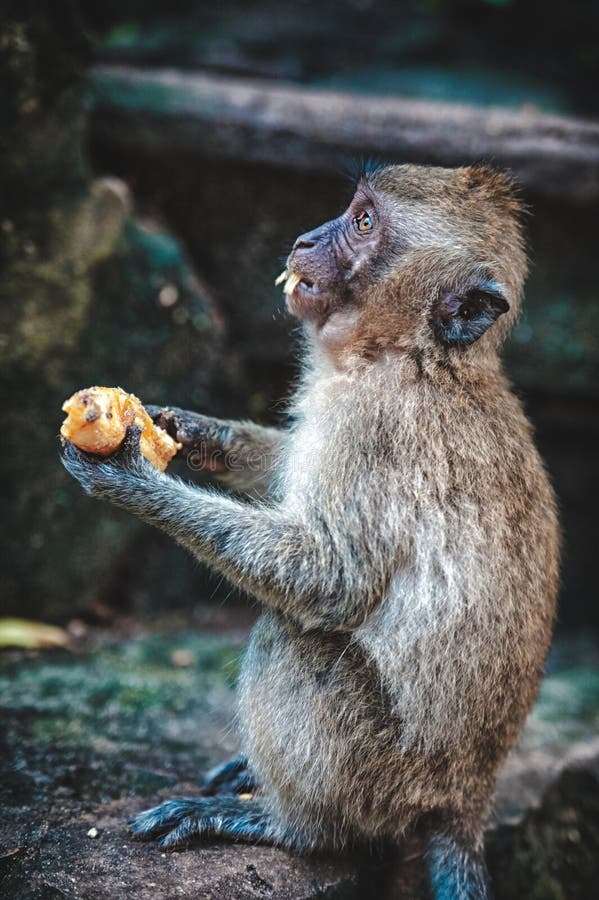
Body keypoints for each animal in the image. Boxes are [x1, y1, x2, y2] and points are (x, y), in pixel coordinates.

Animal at [62, 163, 559, 899]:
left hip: (384, 777)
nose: (304, 239)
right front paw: (189, 432)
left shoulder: (372, 427)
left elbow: (332, 579)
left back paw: (291, 825)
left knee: (295, 640)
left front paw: (132, 480)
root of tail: (466, 797)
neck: (413, 353)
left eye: (363, 222)